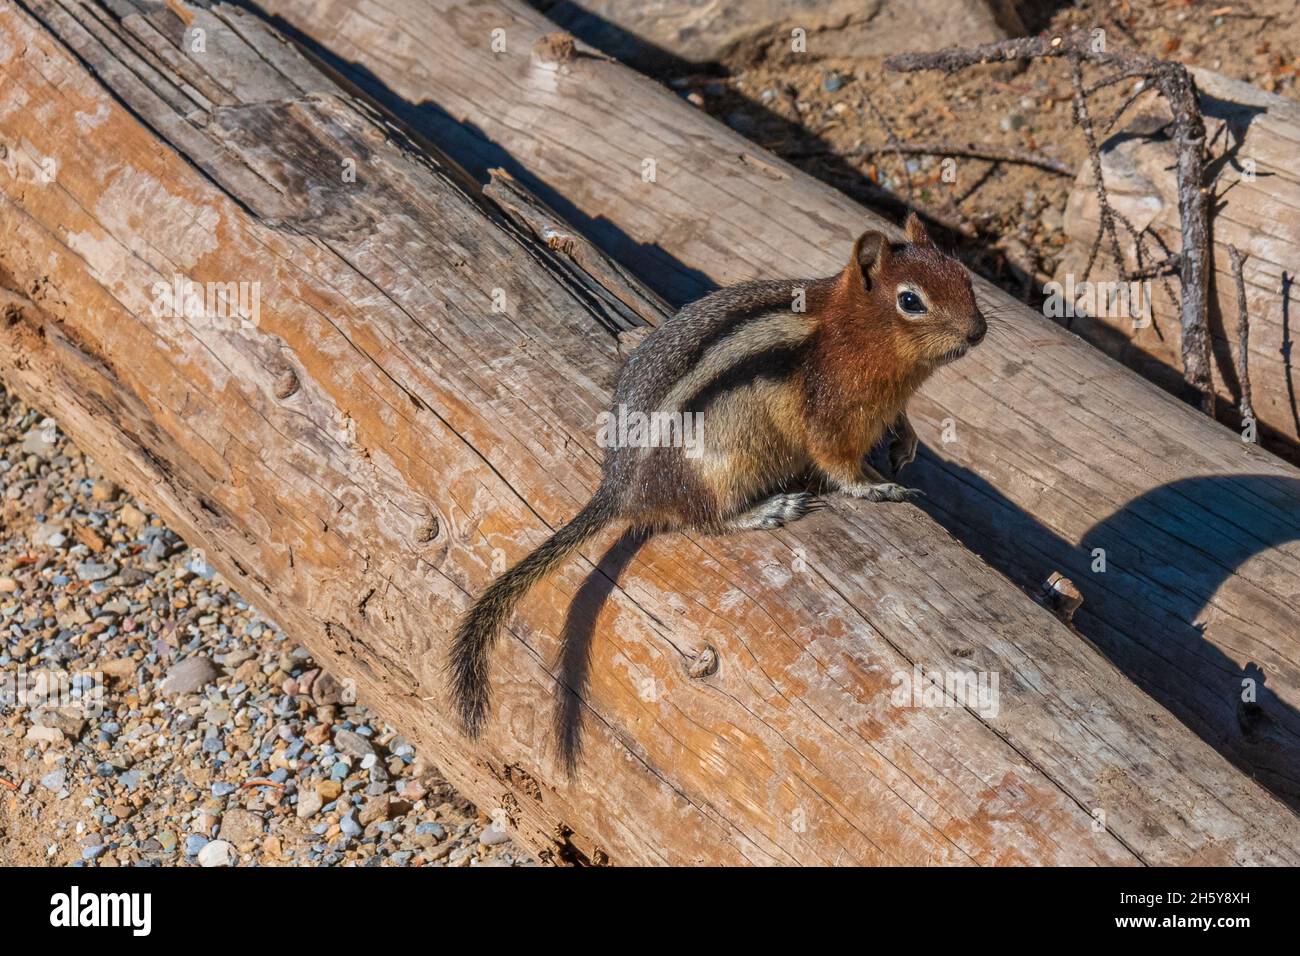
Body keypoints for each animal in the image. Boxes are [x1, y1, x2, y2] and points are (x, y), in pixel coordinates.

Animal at [448, 213, 986, 737]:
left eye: (965, 276)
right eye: (910, 301)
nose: (978, 332)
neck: (854, 330)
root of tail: (619, 488)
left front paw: (906, 440)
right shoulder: (832, 417)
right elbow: (837, 464)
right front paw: (878, 488)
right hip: (719, 469)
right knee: (706, 520)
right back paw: (769, 509)